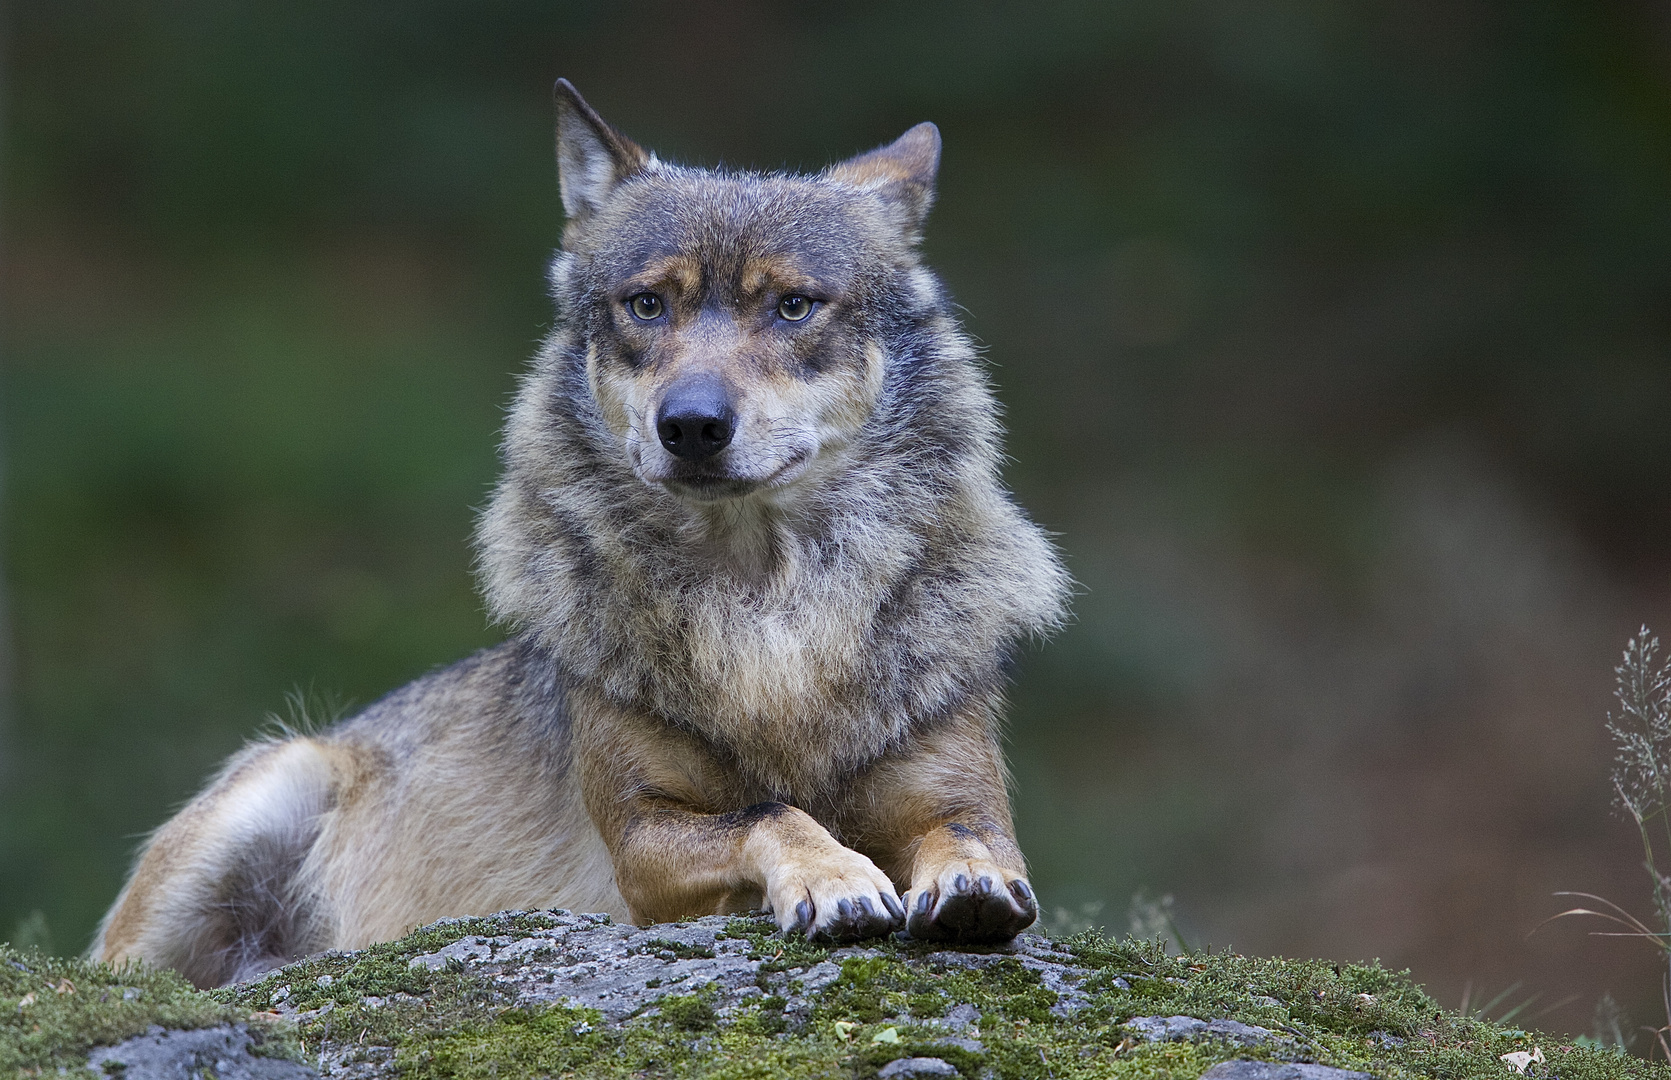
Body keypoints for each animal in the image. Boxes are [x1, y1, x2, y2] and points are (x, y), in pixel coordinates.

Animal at [91, 78, 1069, 989]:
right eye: (646, 306)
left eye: (793, 306)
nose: (692, 424)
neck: (764, 622)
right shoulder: (641, 840)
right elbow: (770, 814)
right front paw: (835, 878)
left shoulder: (955, 791)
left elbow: (970, 836)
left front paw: (971, 885)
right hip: (268, 787)